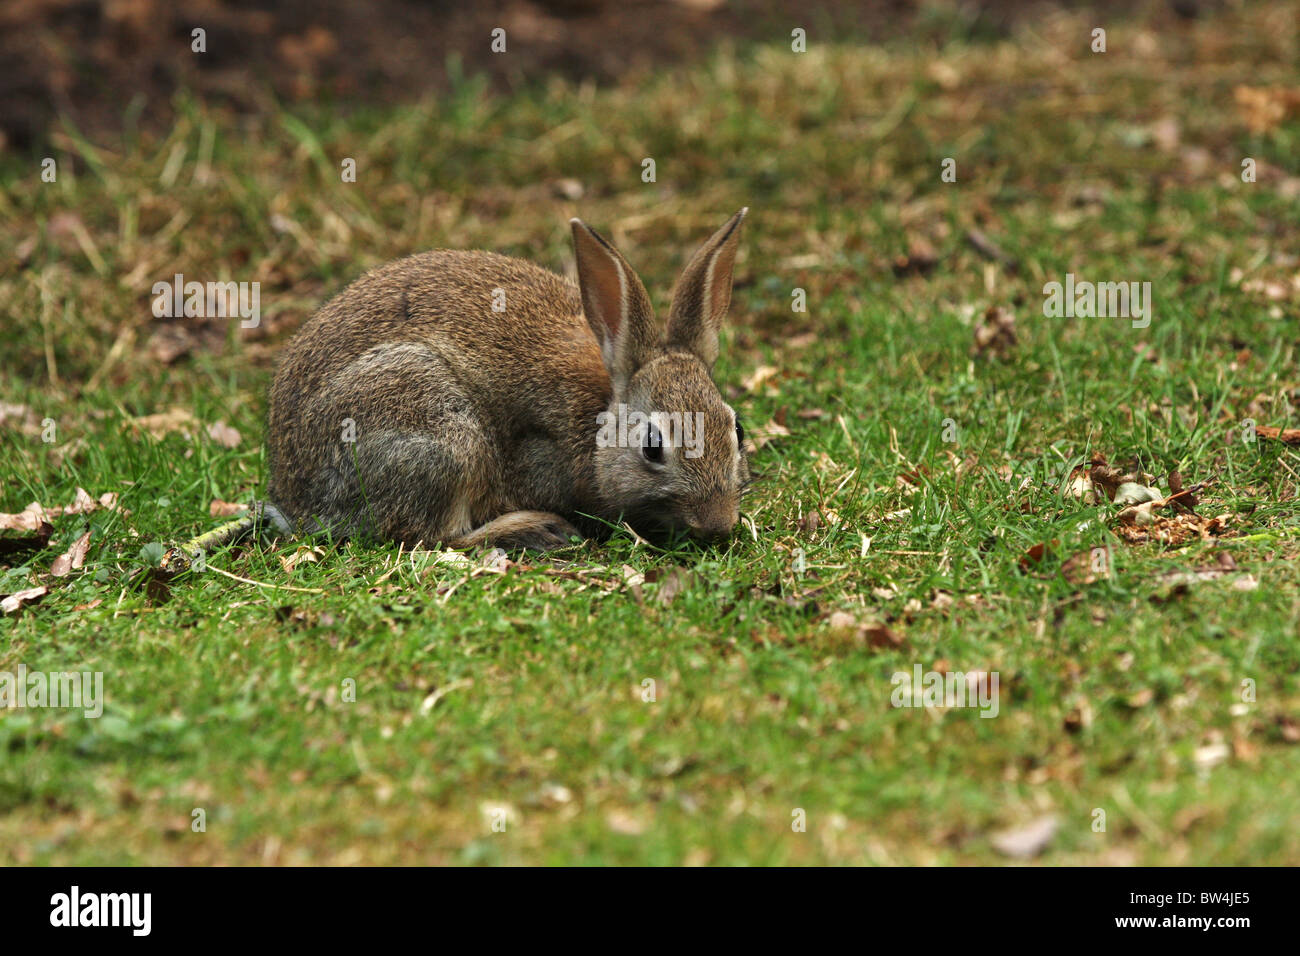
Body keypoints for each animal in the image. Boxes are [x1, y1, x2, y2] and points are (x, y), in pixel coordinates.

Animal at [265, 208, 752, 551]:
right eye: (652, 447)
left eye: (739, 431)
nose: (718, 523)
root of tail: (297, 500)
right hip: (436, 432)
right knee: (428, 535)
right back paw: (536, 529)